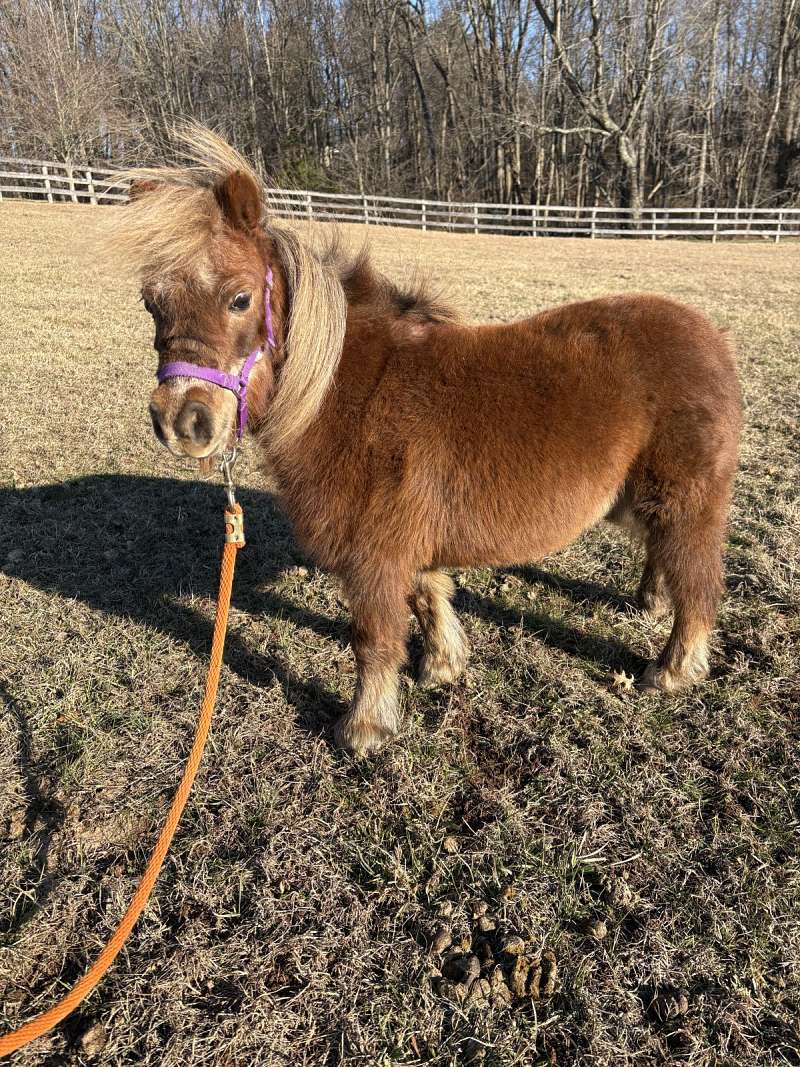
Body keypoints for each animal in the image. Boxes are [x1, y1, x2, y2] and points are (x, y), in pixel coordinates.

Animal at [110, 128, 742, 756]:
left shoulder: (374, 552)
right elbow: (428, 595)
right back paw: (649, 602)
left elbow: (373, 637)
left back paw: (673, 669)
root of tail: (710, 335)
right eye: (149, 302)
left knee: (697, 577)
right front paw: (442, 666)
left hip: (687, 500)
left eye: (240, 299)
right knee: (664, 553)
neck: (349, 392)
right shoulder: (406, 537)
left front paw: (365, 727)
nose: (181, 422)